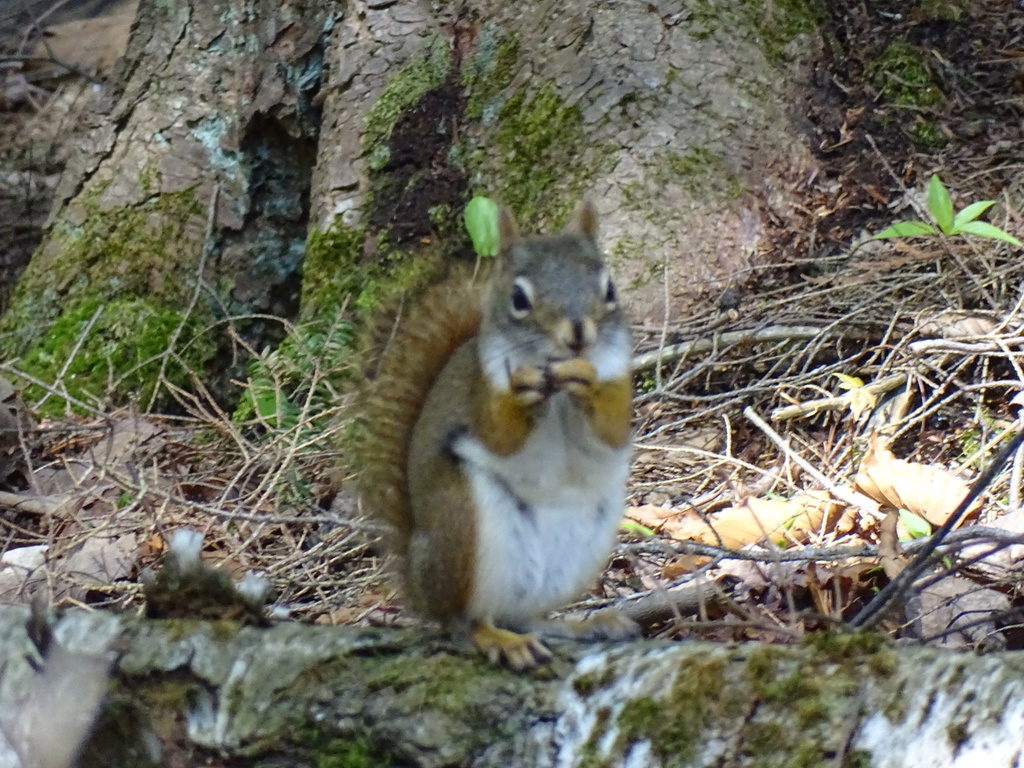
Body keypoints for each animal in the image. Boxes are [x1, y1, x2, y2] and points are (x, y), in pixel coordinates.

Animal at [361, 200, 638, 670]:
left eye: (609, 288)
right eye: (519, 298)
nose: (578, 334)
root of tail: (420, 584)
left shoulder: (618, 376)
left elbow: (613, 430)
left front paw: (587, 383)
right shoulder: (482, 388)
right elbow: (499, 436)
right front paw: (523, 389)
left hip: (582, 550)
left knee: (526, 615)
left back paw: (584, 625)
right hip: (463, 525)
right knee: (462, 620)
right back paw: (499, 640)